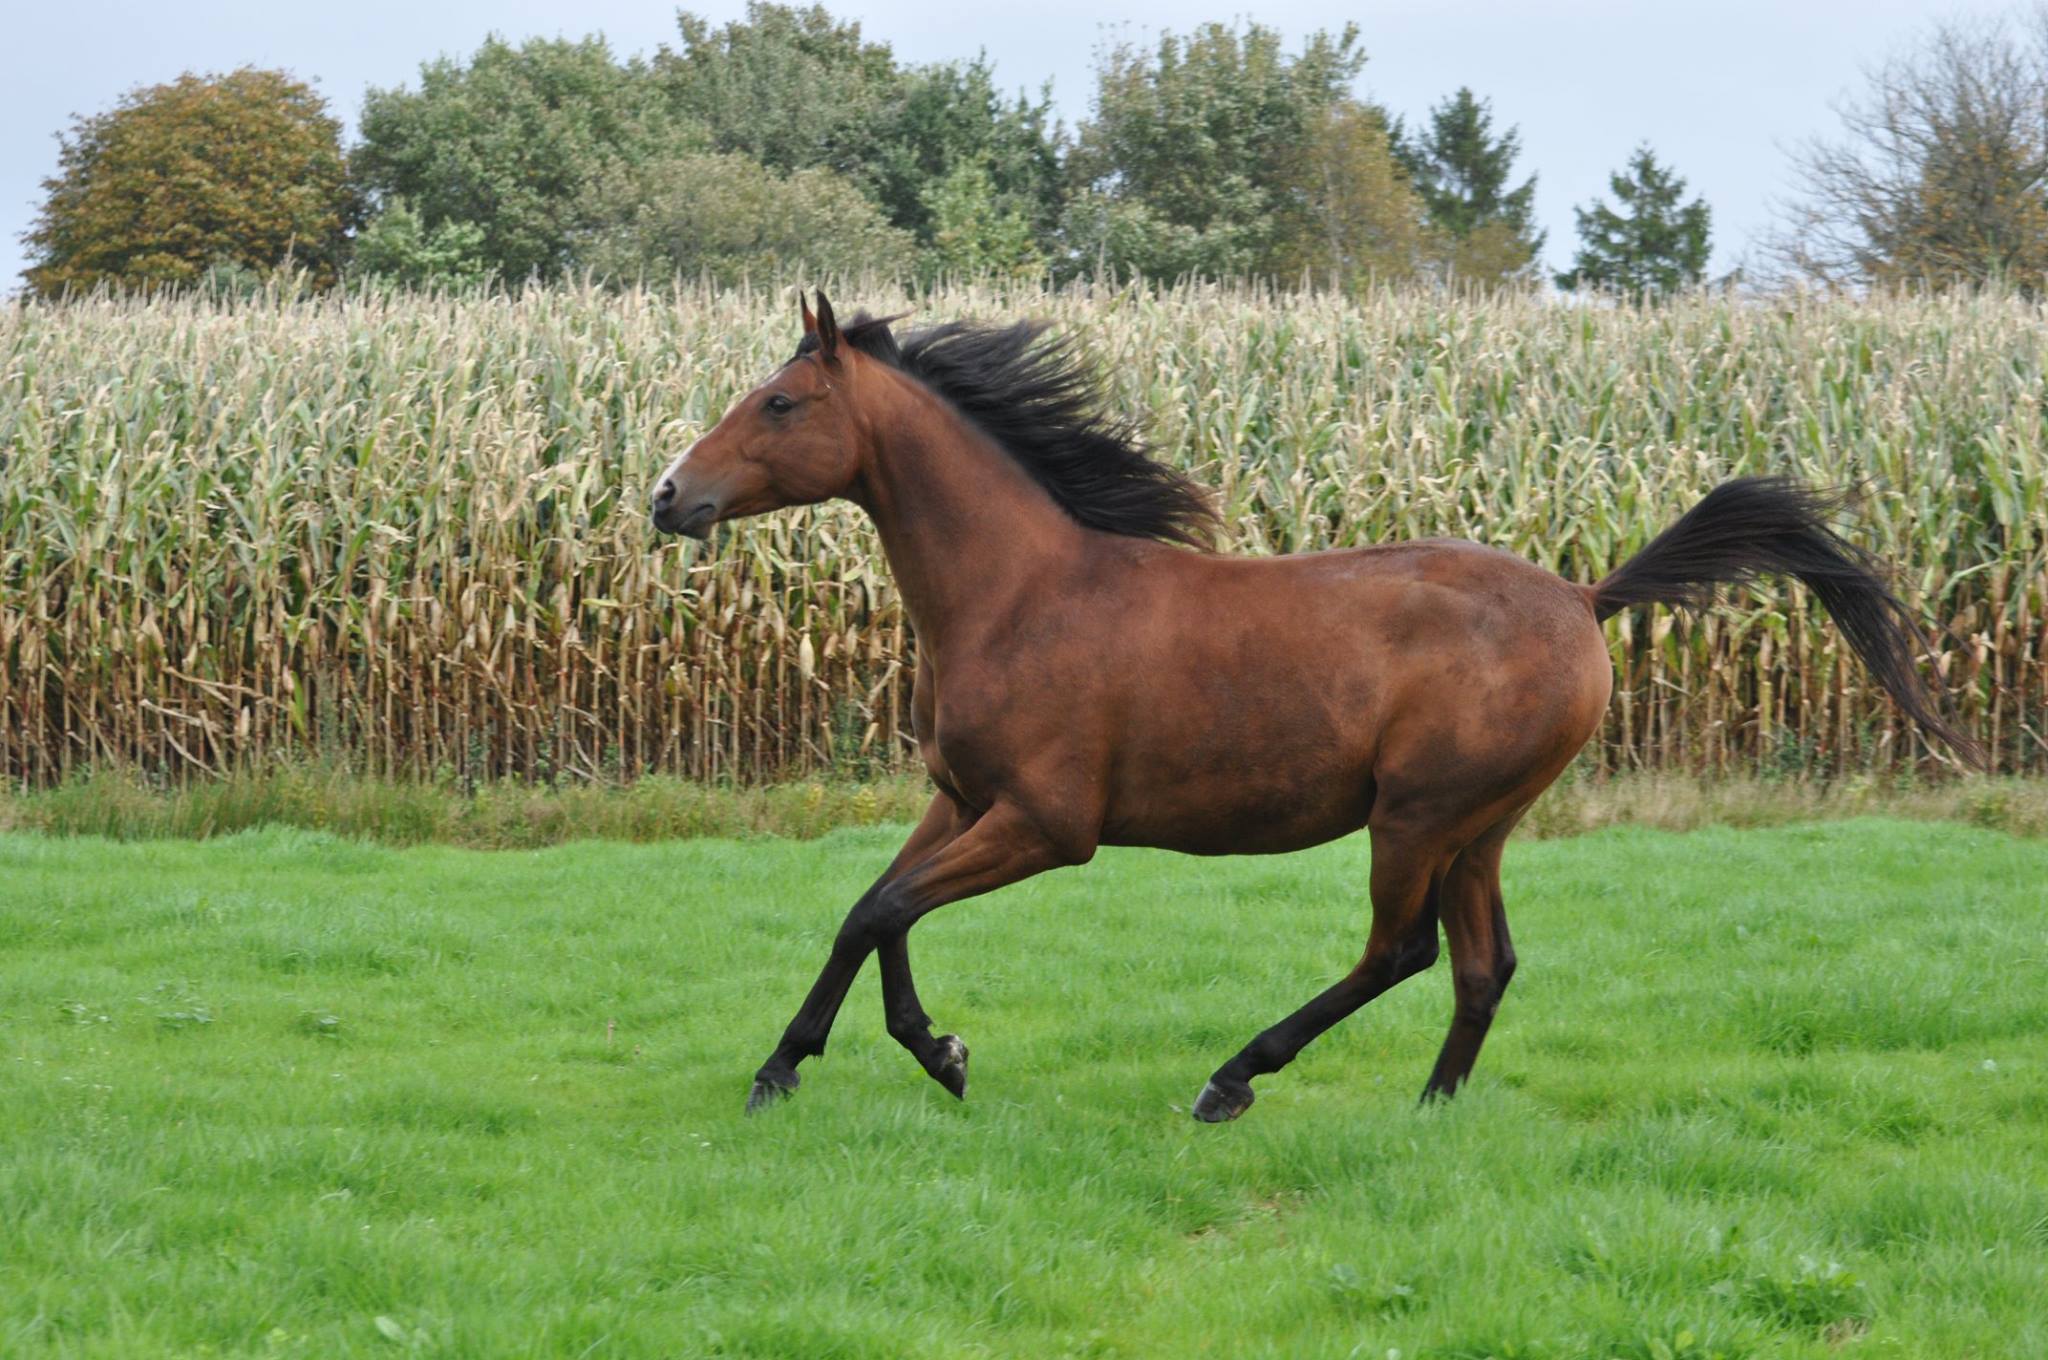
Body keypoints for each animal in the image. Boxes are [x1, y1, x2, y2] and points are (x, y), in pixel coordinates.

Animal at [650, 292, 1977, 1122]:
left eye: (778, 404)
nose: (667, 496)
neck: (1021, 592)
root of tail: (1582, 595)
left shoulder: (1045, 824)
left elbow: (883, 907)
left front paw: (885, 1061)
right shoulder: (962, 799)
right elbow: (870, 912)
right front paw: (873, 1059)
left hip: (1416, 815)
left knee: (1402, 950)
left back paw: (1234, 1077)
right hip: (1480, 825)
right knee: (1483, 964)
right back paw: (1428, 1109)